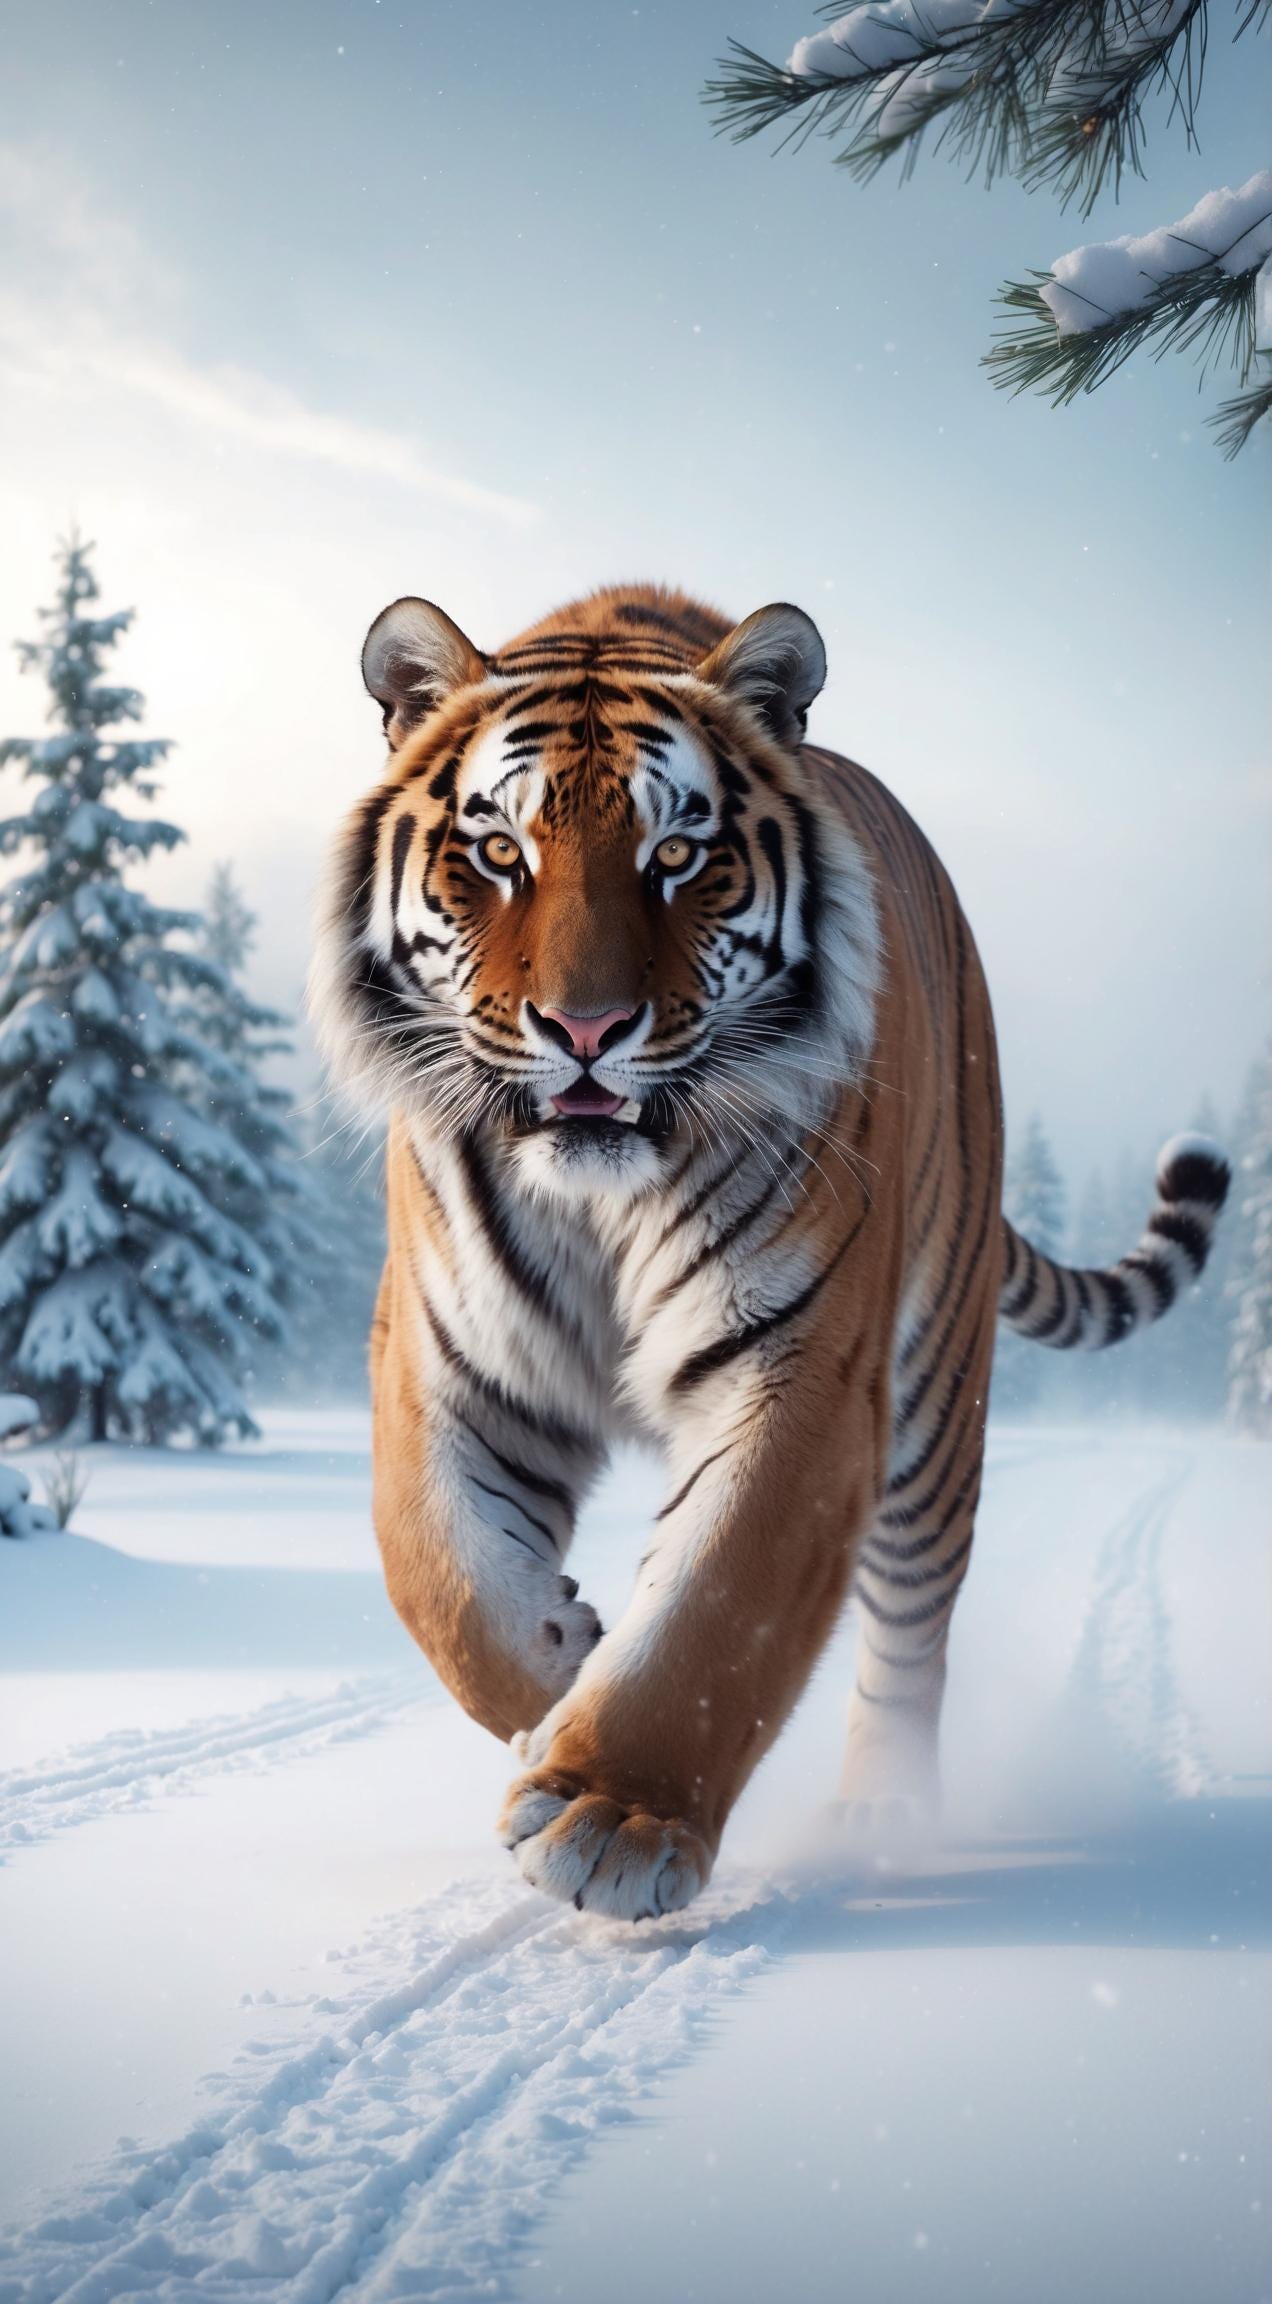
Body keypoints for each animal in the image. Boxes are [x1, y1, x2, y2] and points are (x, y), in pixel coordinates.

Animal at [310, 582, 1229, 1923]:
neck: (600, 1200)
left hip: (933, 1408)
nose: (585, 1027)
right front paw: (559, 1672)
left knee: (912, 1623)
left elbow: (718, 1608)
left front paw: (613, 1821)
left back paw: (886, 1813)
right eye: (499, 852)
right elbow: (441, 1574)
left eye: (677, 855)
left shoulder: (802, 1369)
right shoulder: (450, 1358)